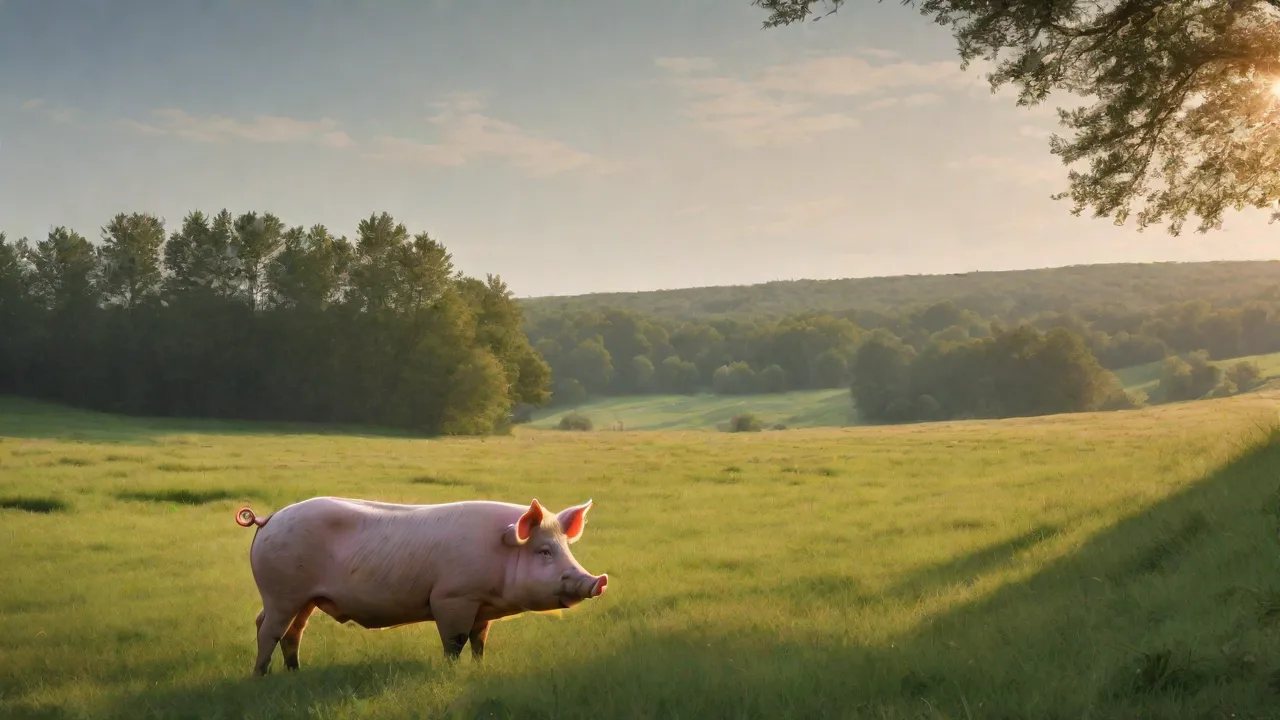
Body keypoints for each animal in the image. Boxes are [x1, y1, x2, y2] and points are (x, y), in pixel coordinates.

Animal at [234, 496, 608, 676]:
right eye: (544, 551)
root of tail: (269, 520)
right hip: (281, 592)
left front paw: (479, 667)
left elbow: (479, 641)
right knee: (268, 630)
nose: (598, 581)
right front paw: (451, 671)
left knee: (291, 632)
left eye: (567, 548)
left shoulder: (482, 607)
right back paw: (260, 676)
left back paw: (295, 673)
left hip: (304, 598)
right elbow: (455, 642)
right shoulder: (452, 597)